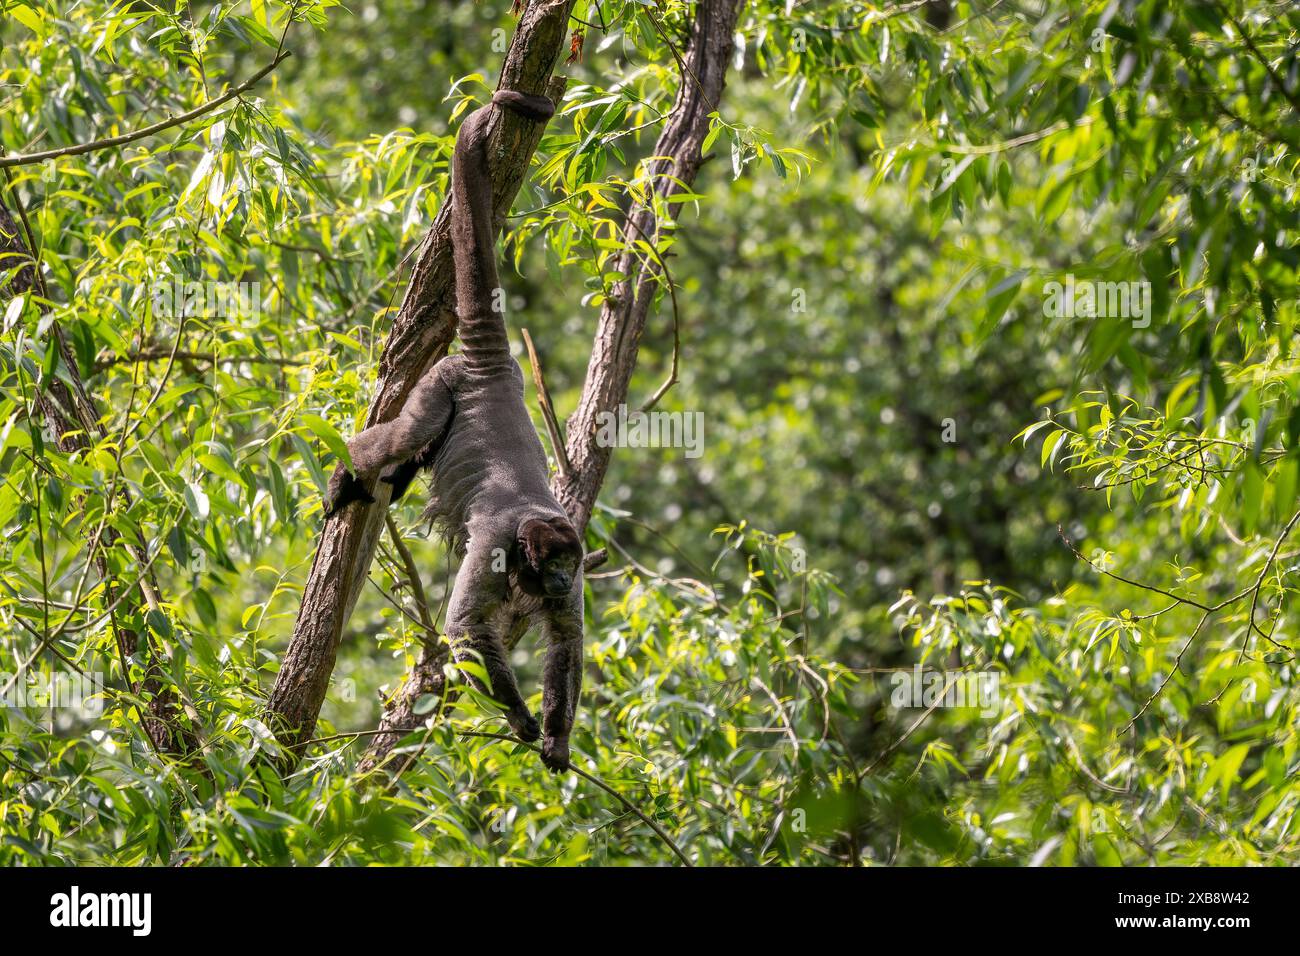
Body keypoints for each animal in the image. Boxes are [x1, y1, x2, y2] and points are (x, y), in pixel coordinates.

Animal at [323, 89, 584, 773]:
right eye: (553, 562)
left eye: (571, 567)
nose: (561, 579)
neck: (527, 552)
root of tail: (489, 371)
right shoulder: (494, 548)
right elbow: (467, 628)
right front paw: (520, 718)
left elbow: (567, 639)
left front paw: (557, 736)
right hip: (440, 385)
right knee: (403, 436)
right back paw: (344, 471)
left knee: (411, 459)